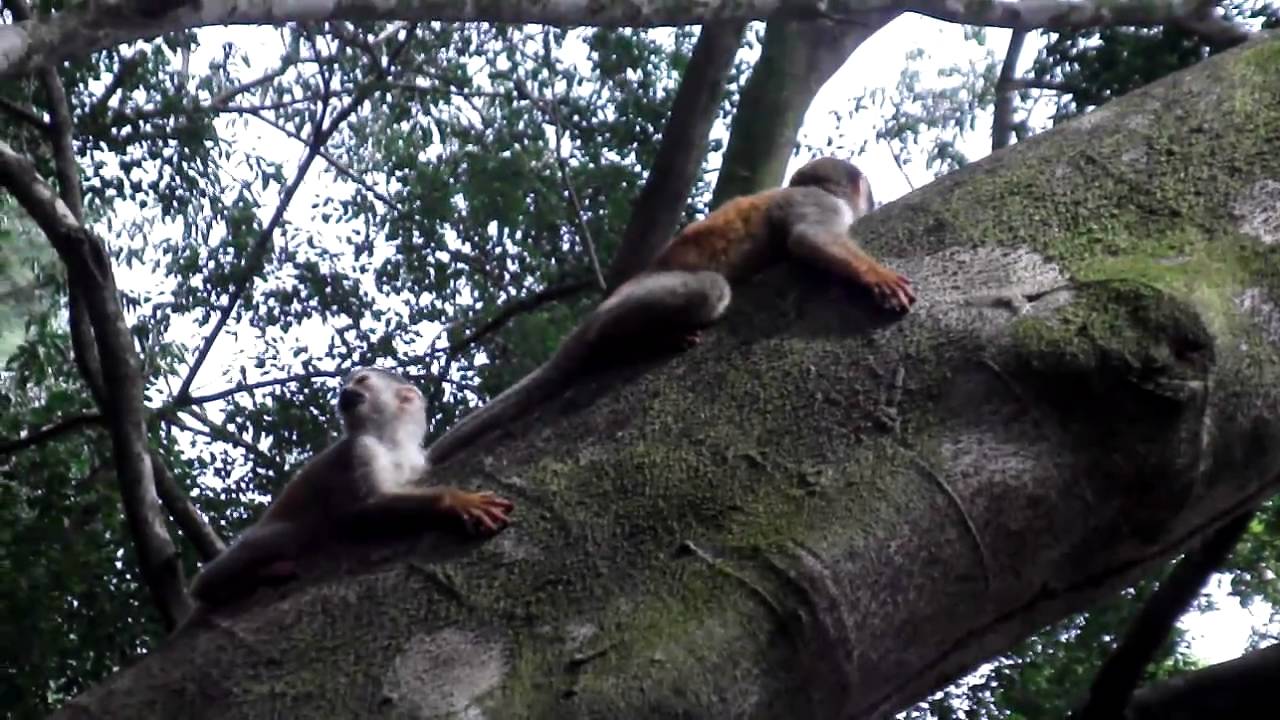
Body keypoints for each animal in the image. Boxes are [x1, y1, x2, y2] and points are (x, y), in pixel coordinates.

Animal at [188, 367, 514, 608]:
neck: (389, 440)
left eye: (362, 381)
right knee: (289, 536)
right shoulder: (360, 449)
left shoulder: (415, 460)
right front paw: (456, 500)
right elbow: (354, 513)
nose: (343, 390)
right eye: (347, 382)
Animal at [424, 157, 915, 467]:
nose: (870, 199)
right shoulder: (819, 203)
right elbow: (809, 240)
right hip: (636, 298)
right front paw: (876, 278)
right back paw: (636, 342)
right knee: (712, 289)